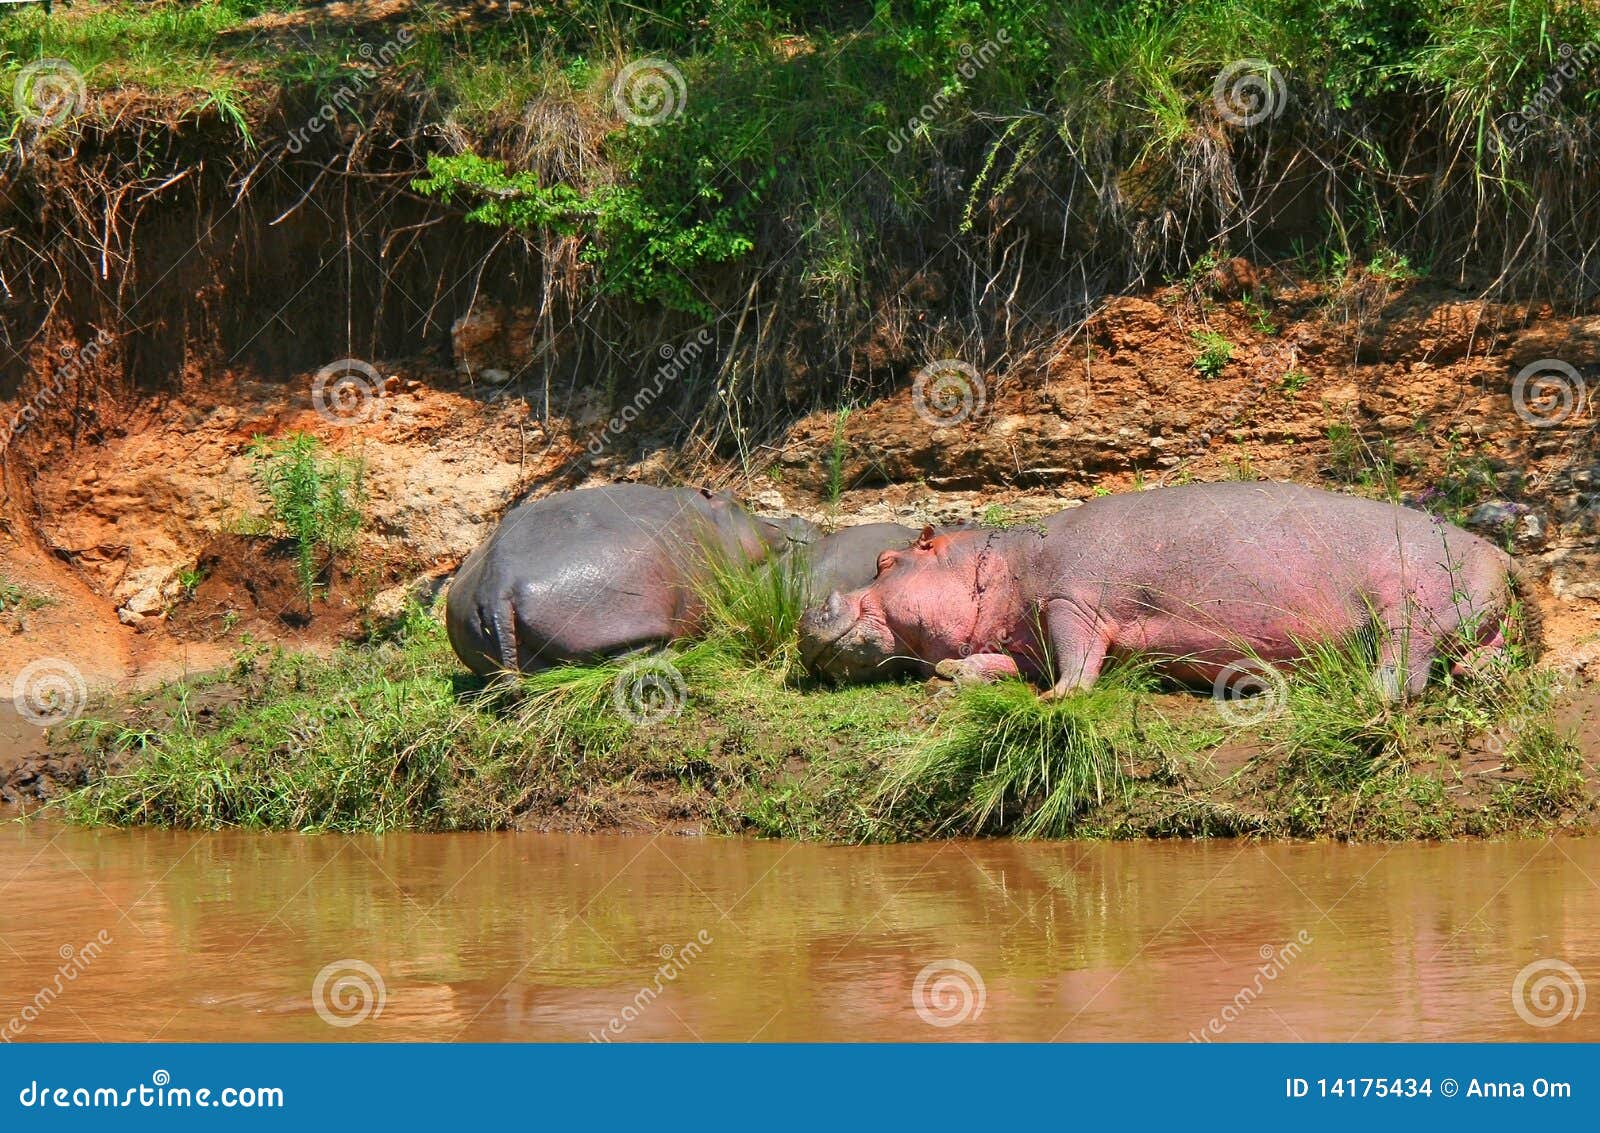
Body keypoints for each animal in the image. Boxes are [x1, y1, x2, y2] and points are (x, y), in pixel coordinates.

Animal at [797, 482, 1532, 699]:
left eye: (886, 560)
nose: (811, 609)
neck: (994, 565)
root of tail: (1497, 549)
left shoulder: (1070, 601)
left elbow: (1077, 656)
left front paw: (1060, 698)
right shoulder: (1022, 639)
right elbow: (1002, 662)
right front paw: (953, 675)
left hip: (1412, 601)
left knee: (1407, 660)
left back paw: (1367, 689)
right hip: (1472, 619)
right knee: (1476, 656)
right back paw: (1481, 677)